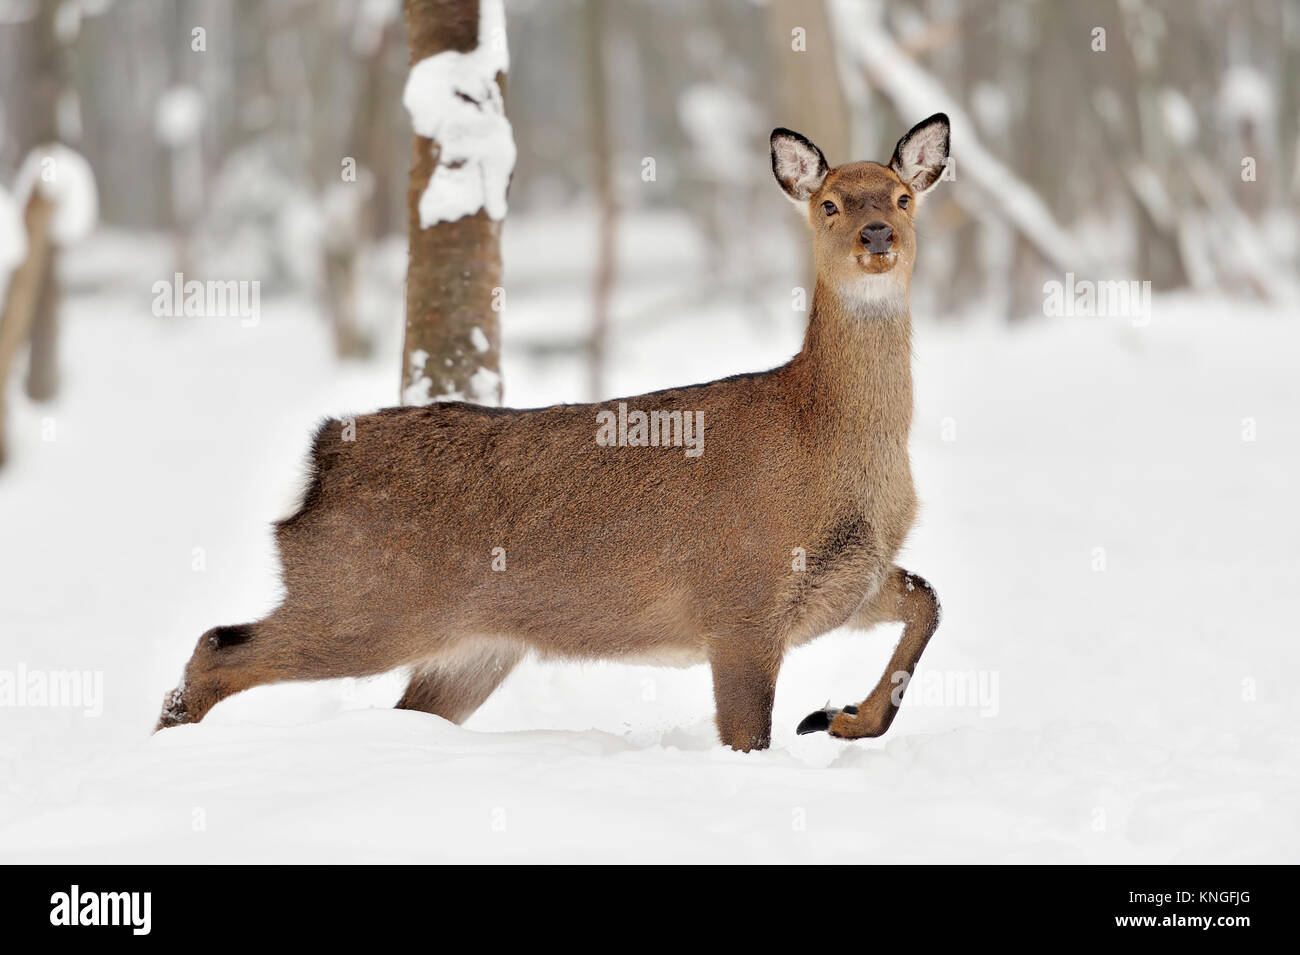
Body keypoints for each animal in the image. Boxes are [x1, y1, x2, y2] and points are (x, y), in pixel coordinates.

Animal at [156, 113, 951, 752]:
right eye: (829, 203)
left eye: (903, 197)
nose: (877, 235)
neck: (829, 446)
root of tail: (319, 464)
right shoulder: (739, 603)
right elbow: (748, 737)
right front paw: (816, 726)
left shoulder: (848, 584)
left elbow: (929, 599)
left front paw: (841, 718)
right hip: (360, 600)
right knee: (215, 647)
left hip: (470, 646)